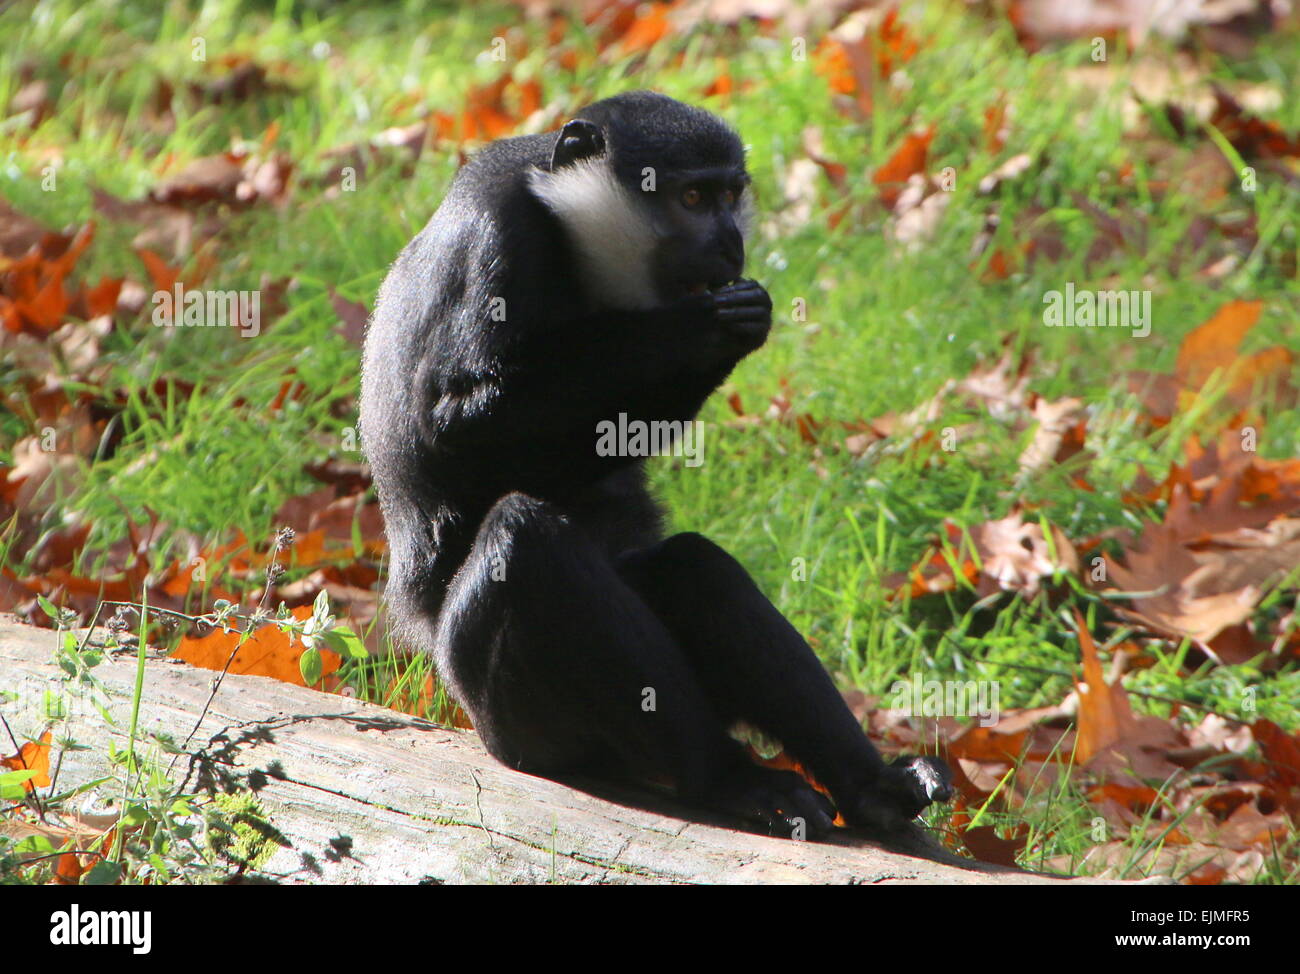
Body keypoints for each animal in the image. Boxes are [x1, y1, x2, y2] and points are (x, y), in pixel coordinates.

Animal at [360, 90, 952, 839]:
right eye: (692, 198)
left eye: (729, 196)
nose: (729, 242)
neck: (566, 228)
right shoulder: (495, 238)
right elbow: (457, 427)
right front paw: (707, 329)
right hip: (509, 713)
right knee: (526, 542)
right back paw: (733, 779)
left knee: (693, 571)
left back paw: (873, 789)